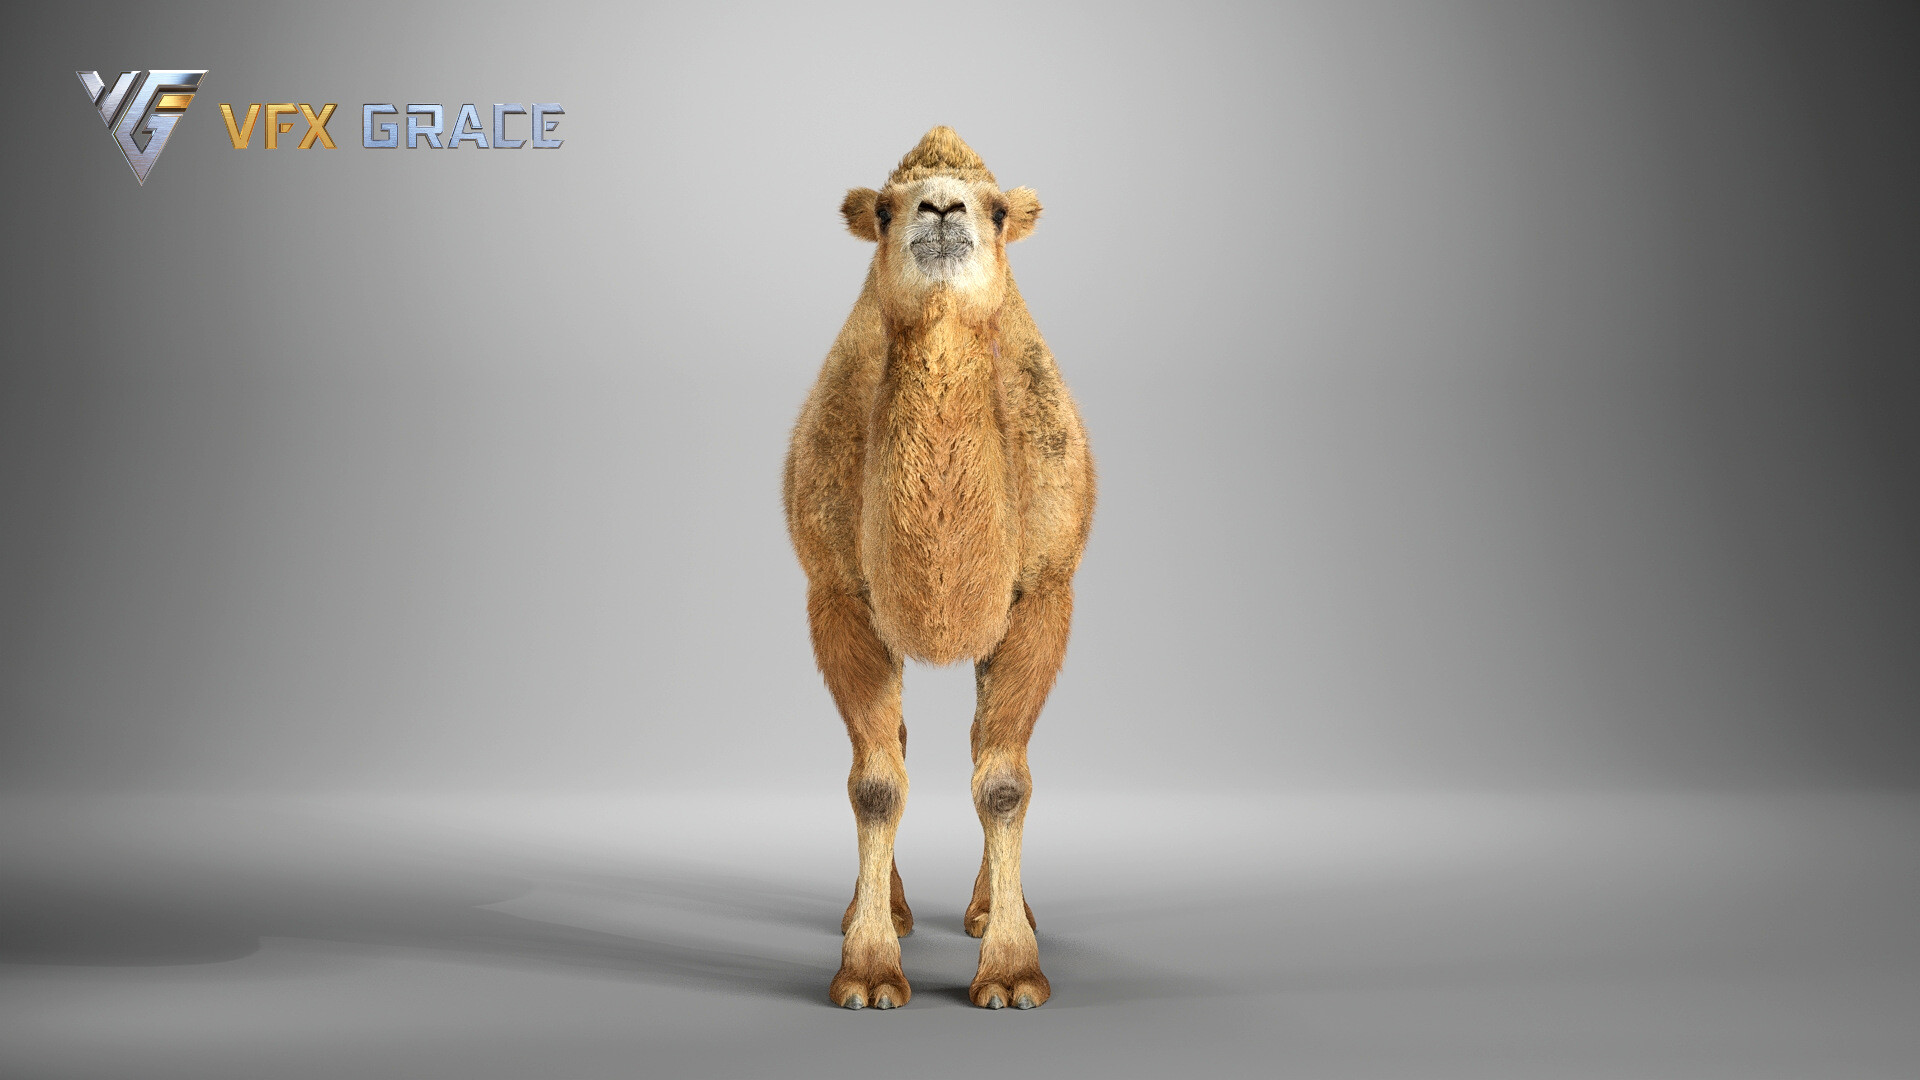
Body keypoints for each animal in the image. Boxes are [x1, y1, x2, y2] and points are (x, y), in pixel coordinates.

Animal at [783, 126, 1095, 1010]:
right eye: (887, 210)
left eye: (996, 211)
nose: (944, 208)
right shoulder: (837, 597)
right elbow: (876, 781)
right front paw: (868, 970)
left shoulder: (1043, 594)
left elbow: (1004, 781)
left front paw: (1013, 972)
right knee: (895, 746)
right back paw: (886, 909)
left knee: (983, 745)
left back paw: (991, 911)